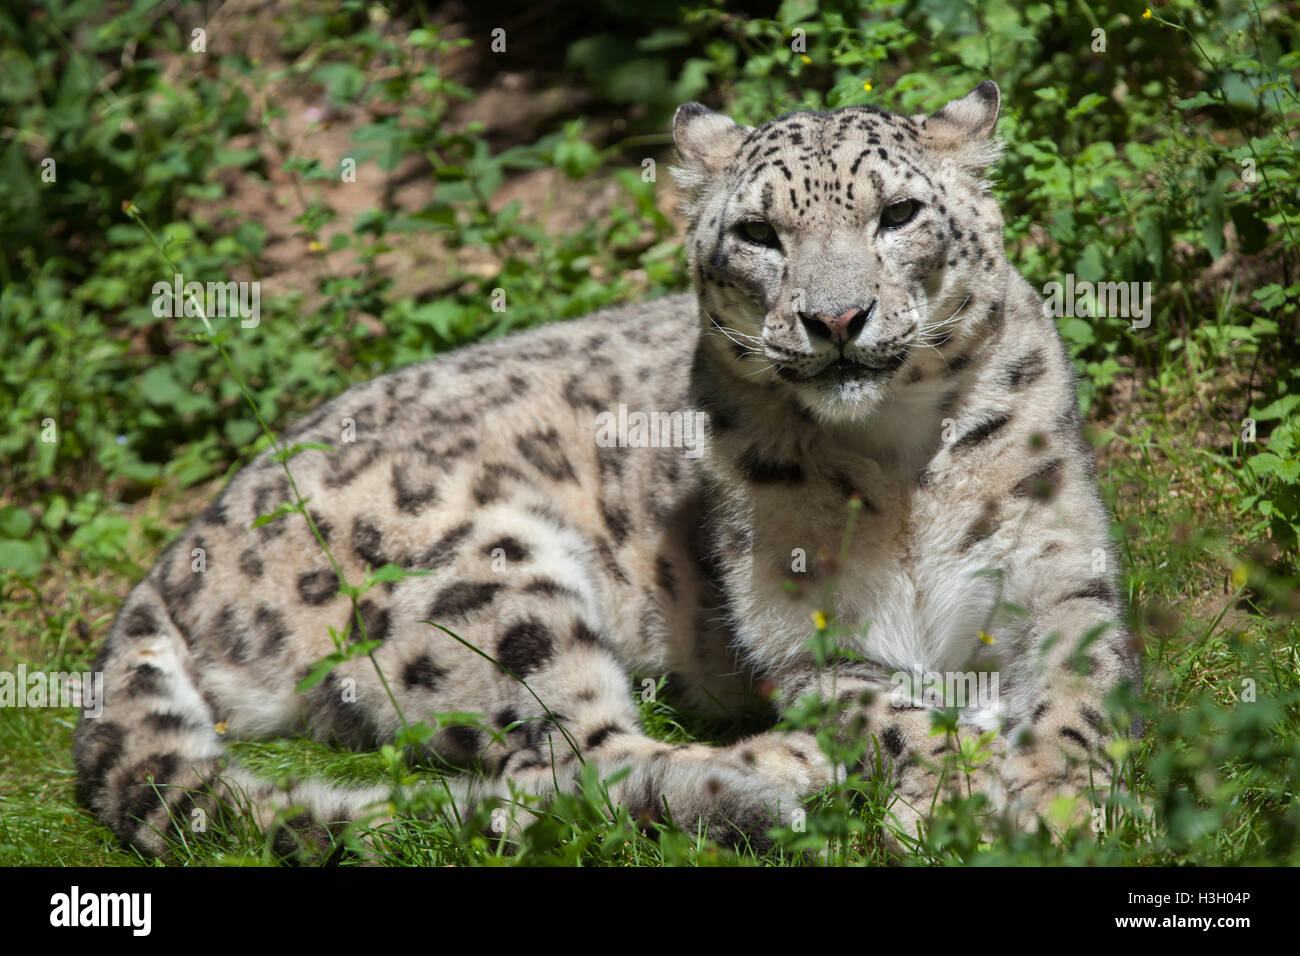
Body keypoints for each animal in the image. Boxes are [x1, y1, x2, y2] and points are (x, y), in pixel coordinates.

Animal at [75, 81, 1141, 859]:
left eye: (901, 213)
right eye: (759, 234)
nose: (835, 320)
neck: (897, 460)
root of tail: (177, 554)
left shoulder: (1061, 568)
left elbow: (1080, 682)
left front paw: (1055, 792)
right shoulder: (804, 636)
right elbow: (884, 711)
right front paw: (964, 782)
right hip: (480, 584)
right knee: (569, 763)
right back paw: (777, 773)